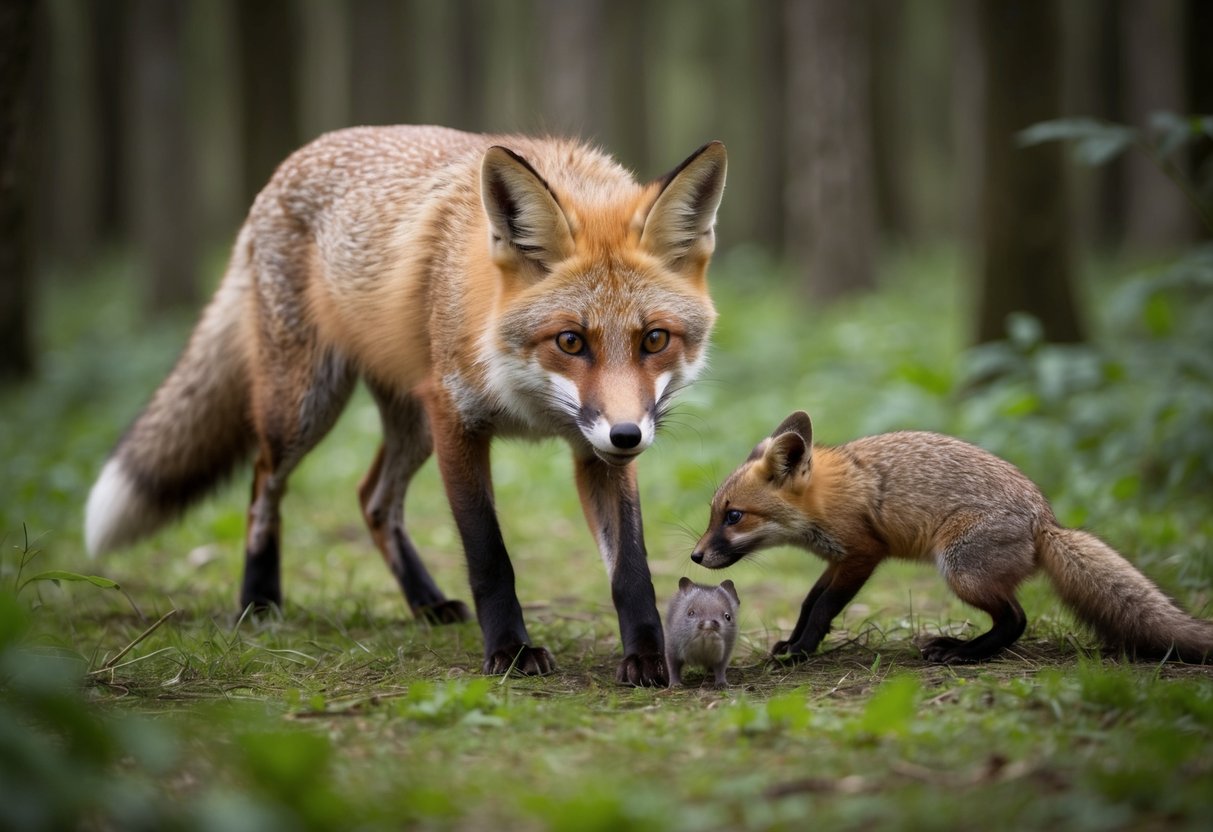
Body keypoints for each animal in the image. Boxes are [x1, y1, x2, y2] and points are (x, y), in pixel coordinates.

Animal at [85, 125, 727, 687]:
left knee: (372, 499)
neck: (526, 396)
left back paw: (427, 602)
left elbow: (632, 569)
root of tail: (293, 160)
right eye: (571, 342)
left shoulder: (593, 451)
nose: (627, 436)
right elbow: (489, 556)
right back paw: (259, 600)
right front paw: (511, 652)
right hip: (306, 408)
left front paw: (647, 656)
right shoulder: (457, 420)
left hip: (410, 424)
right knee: (263, 484)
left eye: (654, 340)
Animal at [692, 411, 1213, 664]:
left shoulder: (863, 554)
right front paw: (793, 643)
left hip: (960, 571)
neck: (822, 501)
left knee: (1017, 619)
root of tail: (1045, 520)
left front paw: (801, 654)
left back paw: (961, 655)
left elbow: (823, 609)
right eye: (712, 514)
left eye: (734, 517)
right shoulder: (837, 560)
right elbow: (808, 604)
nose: (696, 556)